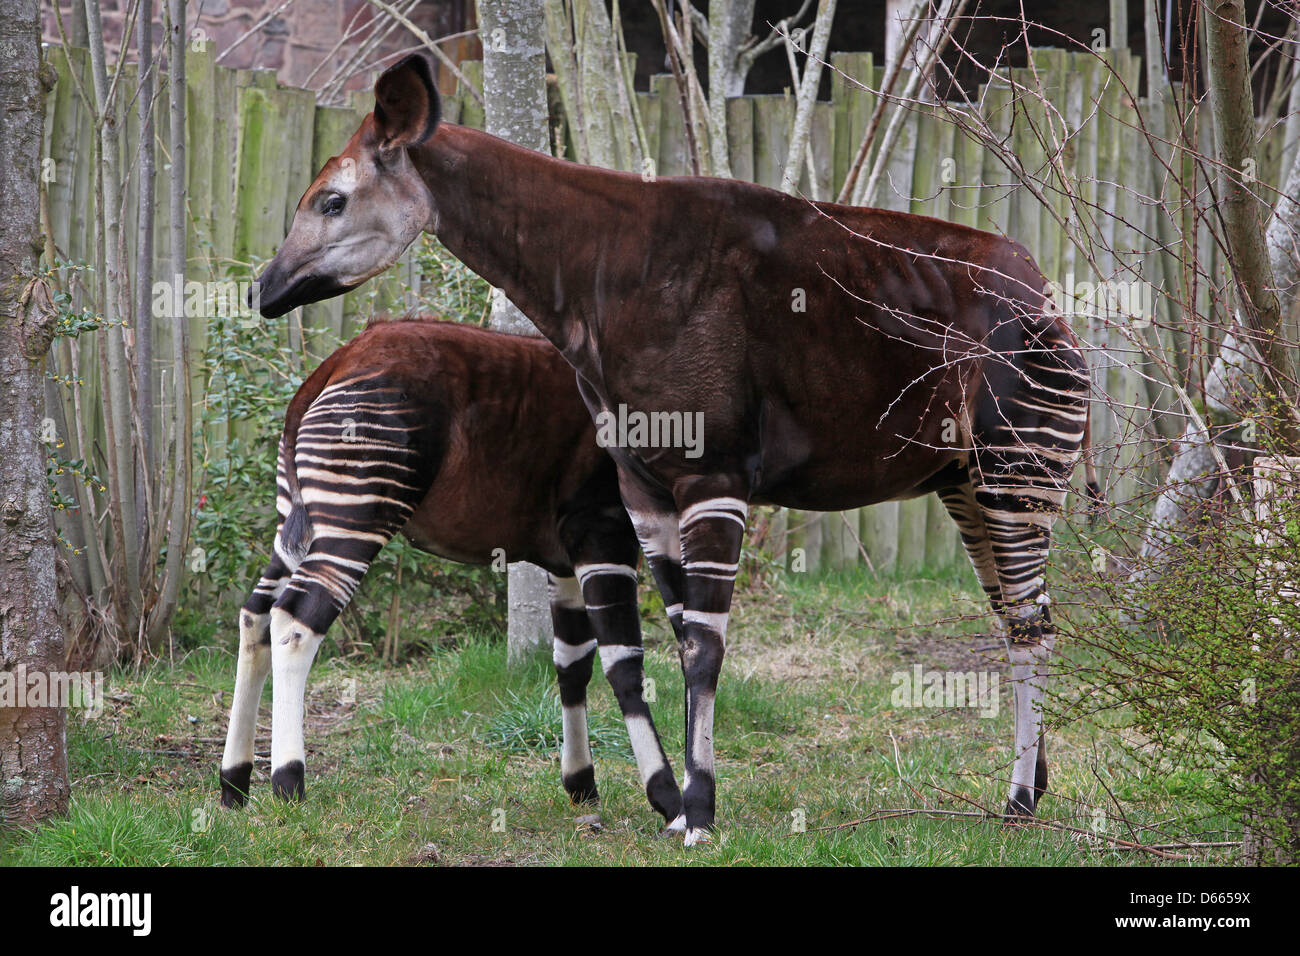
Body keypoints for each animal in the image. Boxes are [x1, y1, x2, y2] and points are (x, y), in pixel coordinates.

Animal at [215, 317, 681, 827]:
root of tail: (334, 363)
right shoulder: (604, 530)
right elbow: (628, 662)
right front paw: (669, 796)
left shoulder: (567, 559)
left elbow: (572, 663)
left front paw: (581, 783)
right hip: (358, 509)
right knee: (296, 620)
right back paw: (289, 784)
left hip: (299, 519)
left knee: (255, 614)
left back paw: (234, 783)